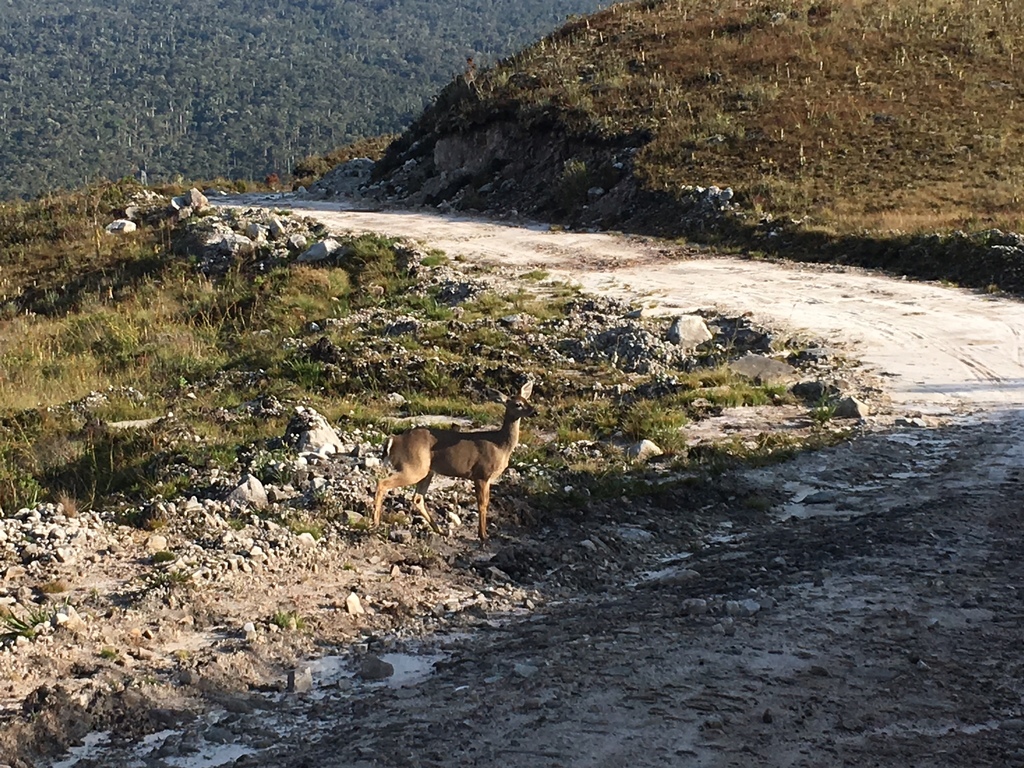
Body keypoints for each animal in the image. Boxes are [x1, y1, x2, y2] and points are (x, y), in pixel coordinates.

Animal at [372, 380, 536, 541]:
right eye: (518, 404)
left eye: (527, 400)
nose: (535, 411)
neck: (500, 445)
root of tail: (394, 440)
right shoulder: (481, 474)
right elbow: (482, 504)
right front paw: (483, 535)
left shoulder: (487, 478)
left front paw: (484, 534)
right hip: (413, 466)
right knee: (382, 483)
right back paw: (375, 523)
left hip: (427, 471)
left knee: (417, 498)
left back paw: (441, 531)